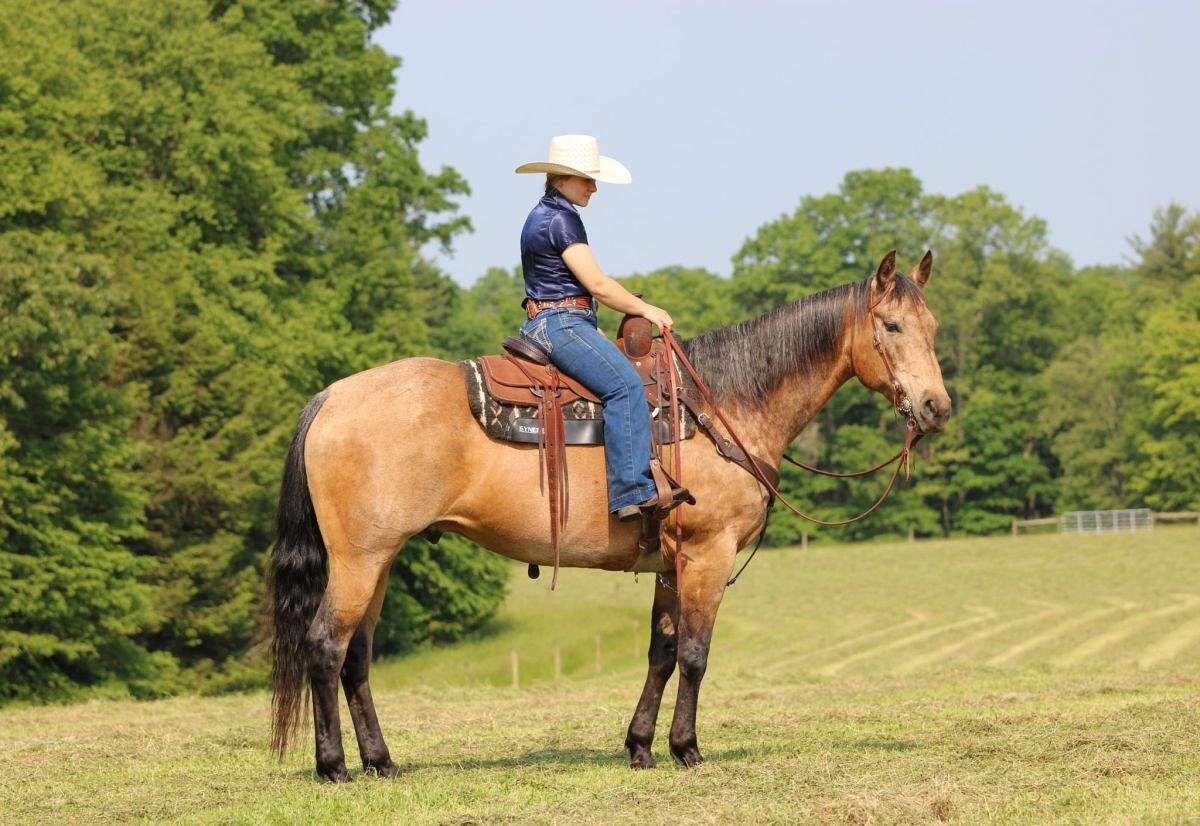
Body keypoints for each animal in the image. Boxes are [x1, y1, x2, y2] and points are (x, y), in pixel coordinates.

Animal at [267, 250, 951, 781]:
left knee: (357, 657)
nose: (936, 407)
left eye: (933, 326)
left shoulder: (672, 563)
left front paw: (641, 747)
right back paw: (333, 766)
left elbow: (661, 652)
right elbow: (695, 654)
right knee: (326, 645)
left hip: (379, 561)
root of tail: (332, 397)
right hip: (358, 560)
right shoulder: (709, 553)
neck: (722, 406)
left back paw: (382, 762)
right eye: (891, 325)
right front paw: (687, 749)